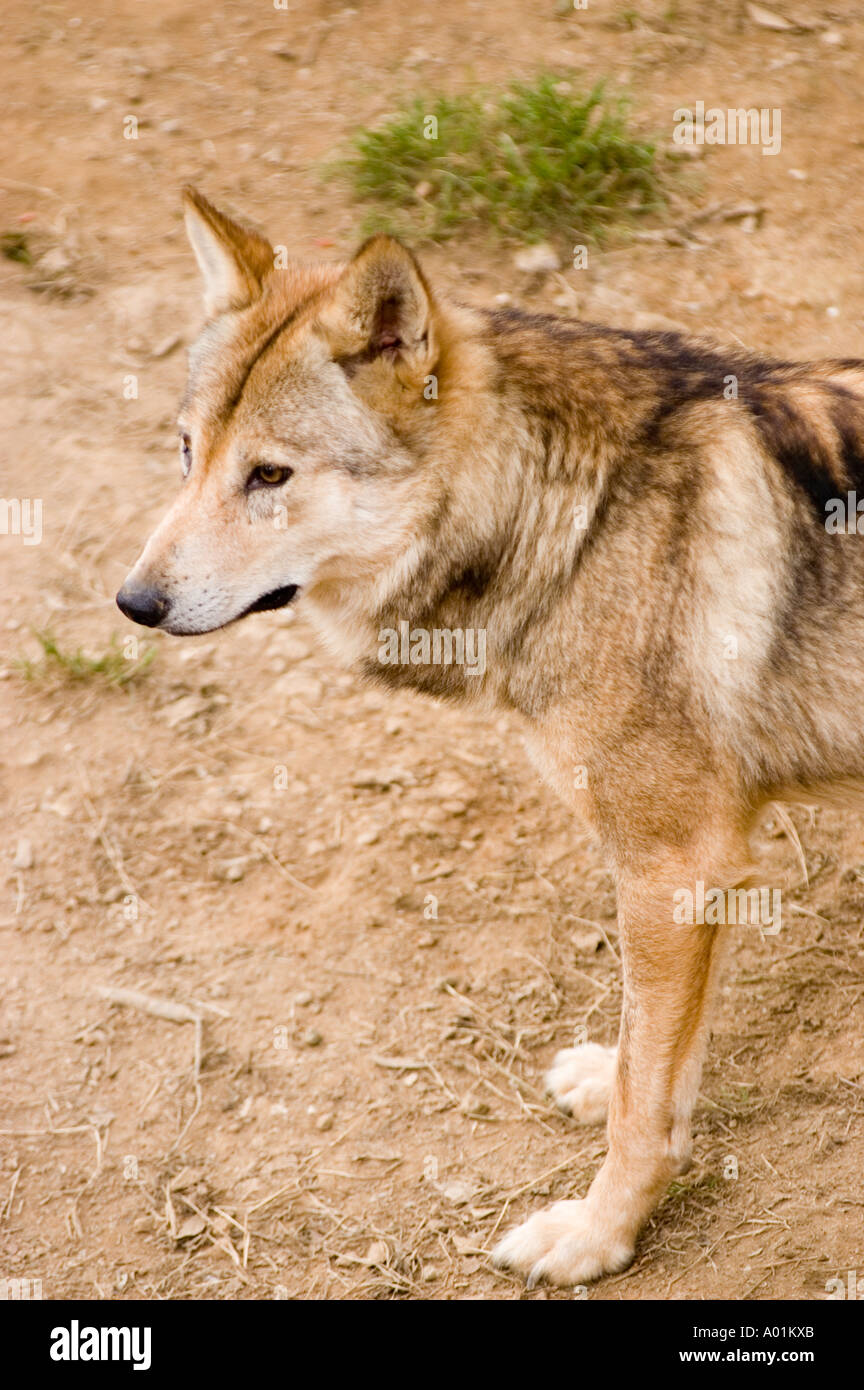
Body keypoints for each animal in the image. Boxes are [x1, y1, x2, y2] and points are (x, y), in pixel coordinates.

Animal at [117, 187, 864, 1287]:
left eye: (269, 475)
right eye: (186, 451)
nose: (134, 601)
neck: (575, 518)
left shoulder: (669, 859)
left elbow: (645, 1107)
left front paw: (597, 1237)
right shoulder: (705, 862)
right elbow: (660, 1059)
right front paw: (612, 1073)